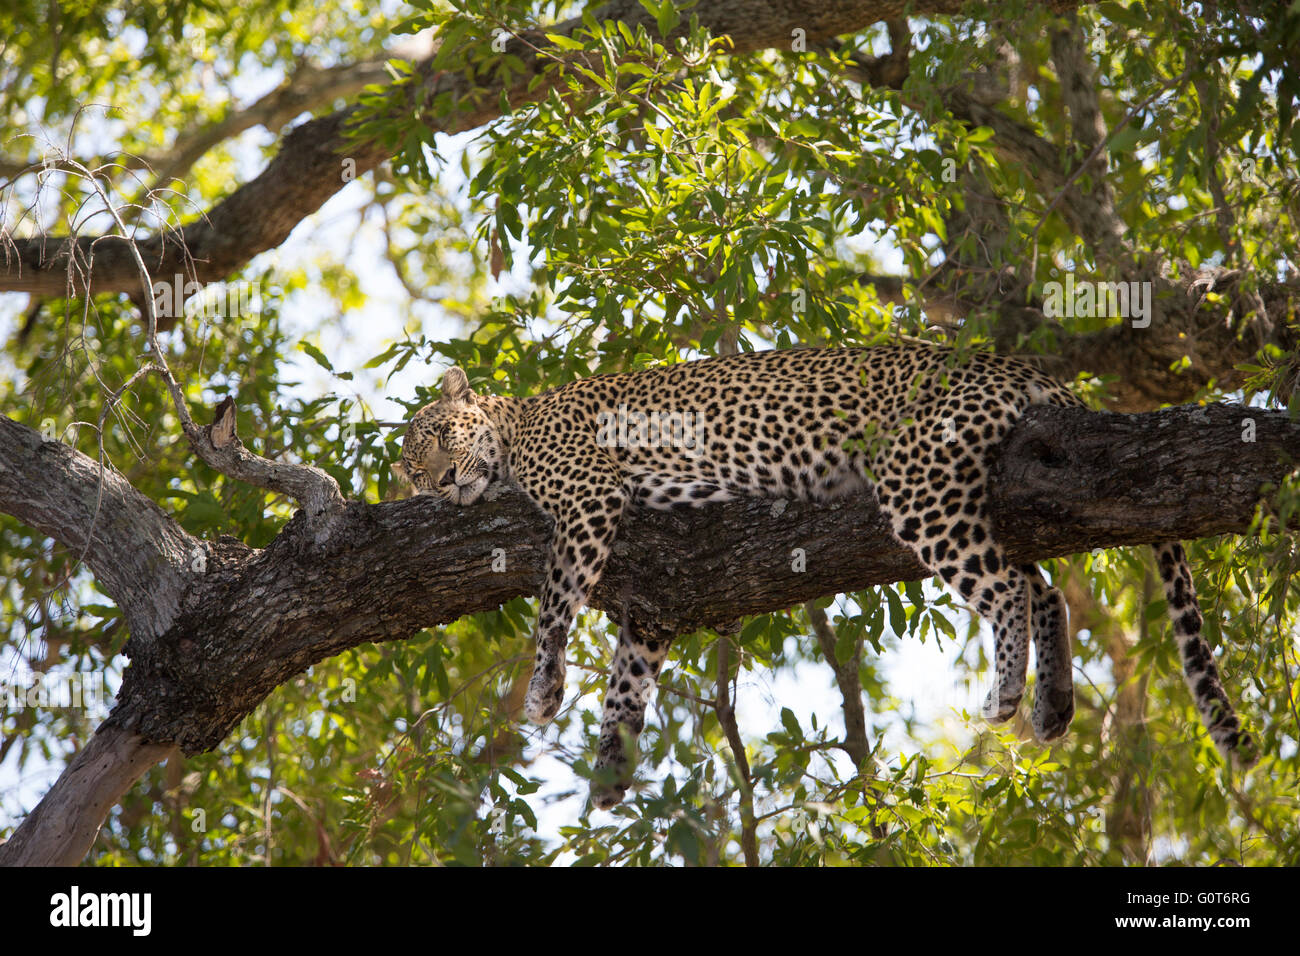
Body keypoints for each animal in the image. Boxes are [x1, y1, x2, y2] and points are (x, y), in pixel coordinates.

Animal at [392, 344, 1257, 809]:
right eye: (410, 472)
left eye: (435, 437)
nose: (440, 486)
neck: (514, 428)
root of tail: (1005, 361)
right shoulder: (654, 599)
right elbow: (628, 674)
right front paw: (609, 767)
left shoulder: (587, 498)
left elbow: (551, 601)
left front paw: (544, 687)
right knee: (1044, 589)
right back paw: (1052, 705)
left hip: (918, 484)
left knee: (1013, 590)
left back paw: (1010, 694)